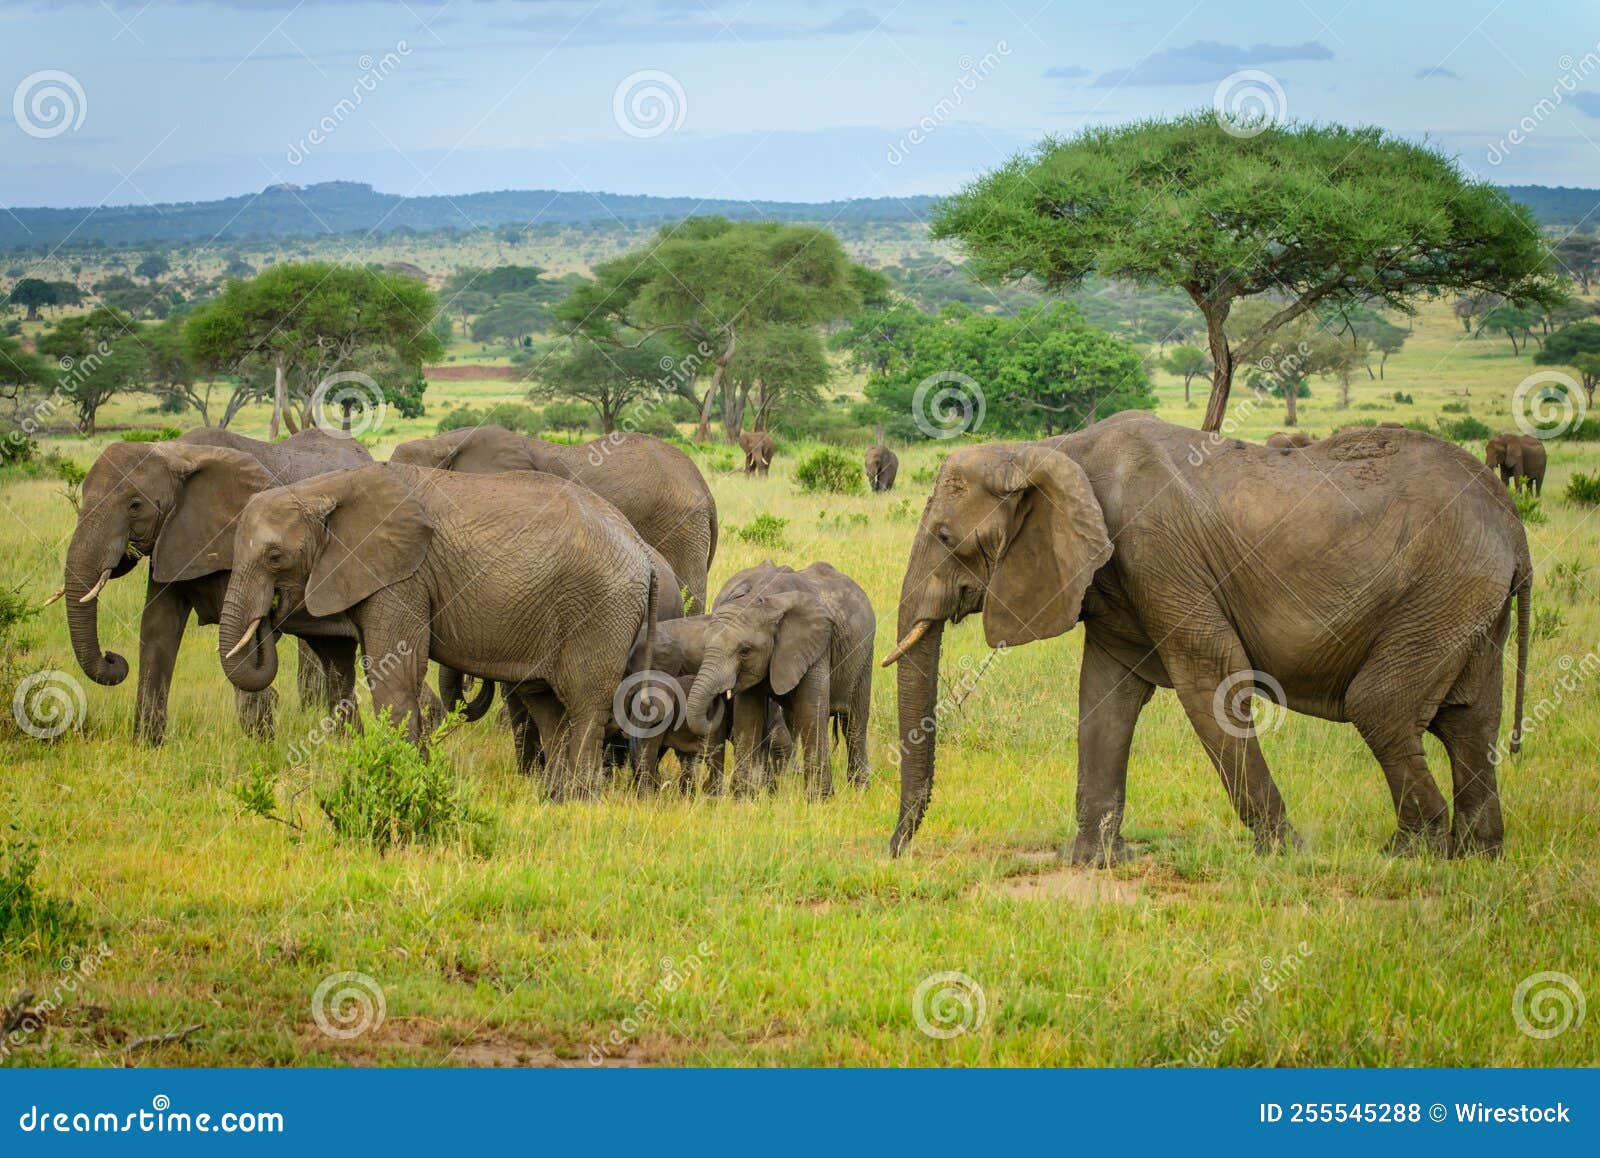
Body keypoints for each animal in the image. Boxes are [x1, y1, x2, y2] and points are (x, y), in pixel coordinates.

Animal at [59, 427, 371, 744]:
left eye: (135, 505)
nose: (113, 658)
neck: (175, 452)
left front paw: (262, 745)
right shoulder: (172, 538)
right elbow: (158, 628)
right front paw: (147, 745)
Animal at [217, 464, 659, 801]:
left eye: (275, 557)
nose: (270, 612)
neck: (323, 488)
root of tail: (643, 550)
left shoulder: (403, 578)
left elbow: (395, 673)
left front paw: (401, 781)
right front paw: (420, 774)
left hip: (601, 609)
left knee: (584, 700)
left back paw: (580, 799)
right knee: (546, 703)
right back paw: (553, 798)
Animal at [714, 561, 875, 789]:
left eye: (744, 650)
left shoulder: (815, 644)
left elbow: (811, 709)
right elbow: (750, 712)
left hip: (864, 657)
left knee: (854, 722)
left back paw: (860, 789)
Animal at [882, 411, 1531, 864]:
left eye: (945, 538)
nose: (894, 851)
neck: (1053, 451)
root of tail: (1512, 525)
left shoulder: (1159, 553)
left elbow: (1209, 685)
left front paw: (1284, 855)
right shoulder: (1116, 579)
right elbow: (1106, 697)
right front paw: (1092, 860)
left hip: (1443, 588)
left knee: (1383, 707)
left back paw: (1409, 854)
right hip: (1465, 603)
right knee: (1469, 718)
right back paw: (1476, 854)